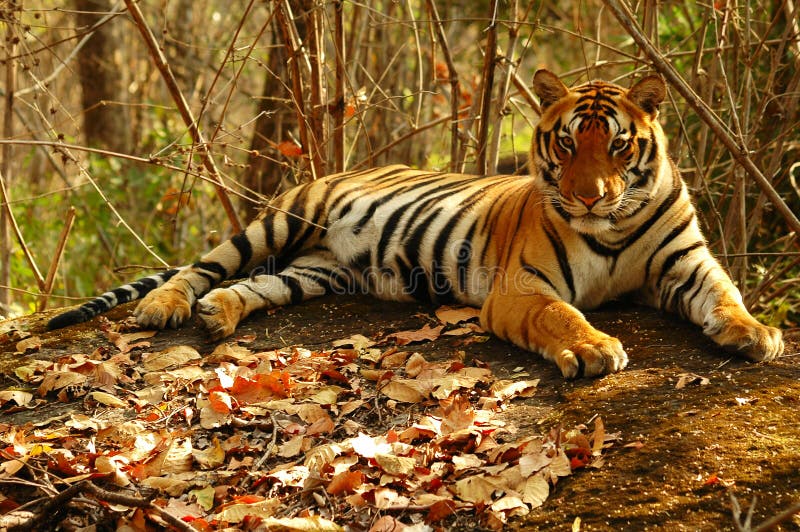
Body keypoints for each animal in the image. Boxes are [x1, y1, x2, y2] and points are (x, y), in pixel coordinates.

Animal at [47, 69, 784, 378]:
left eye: (620, 146)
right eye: (569, 143)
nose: (589, 198)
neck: (613, 228)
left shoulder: (686, 264)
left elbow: (725, 296)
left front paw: (756, 335)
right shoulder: (521, 288)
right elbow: (563, 315)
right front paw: (596, 348)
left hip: (318, 272)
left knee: (254, 287)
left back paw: (218, 316)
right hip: (281, 220)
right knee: (206, 265)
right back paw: (166, 308)